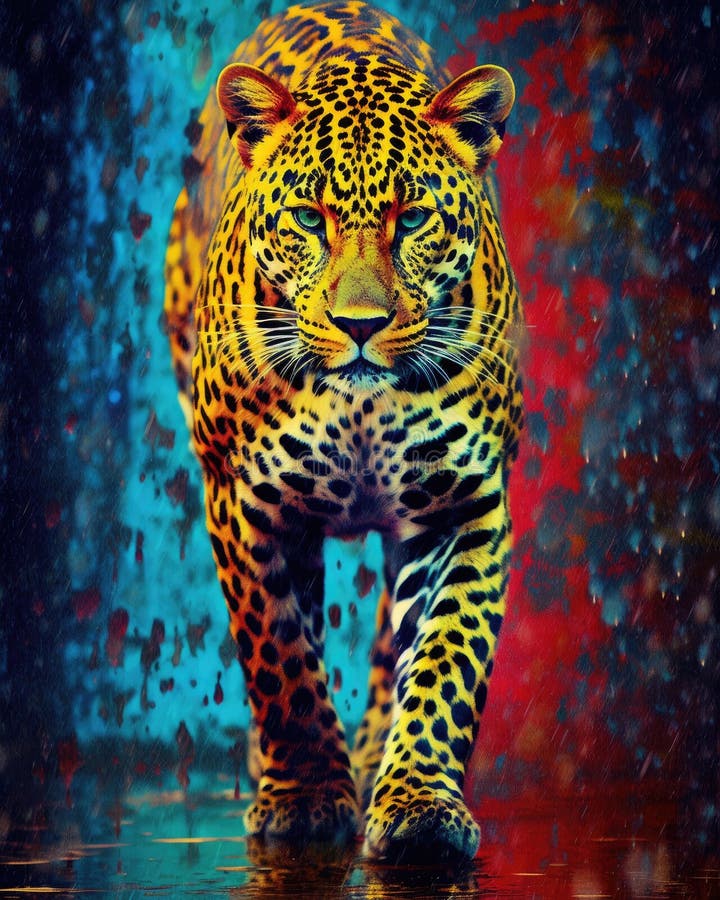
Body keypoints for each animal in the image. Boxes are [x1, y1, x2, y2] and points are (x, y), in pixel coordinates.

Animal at [164, 0, 523, 863]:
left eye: (413, 218)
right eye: (308, 218)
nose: (361, 325)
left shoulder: (464, 506)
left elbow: (446, 657)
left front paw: (420, 803)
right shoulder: (247, 504)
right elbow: (280, 662)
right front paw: (303, 797)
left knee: (392, 645)